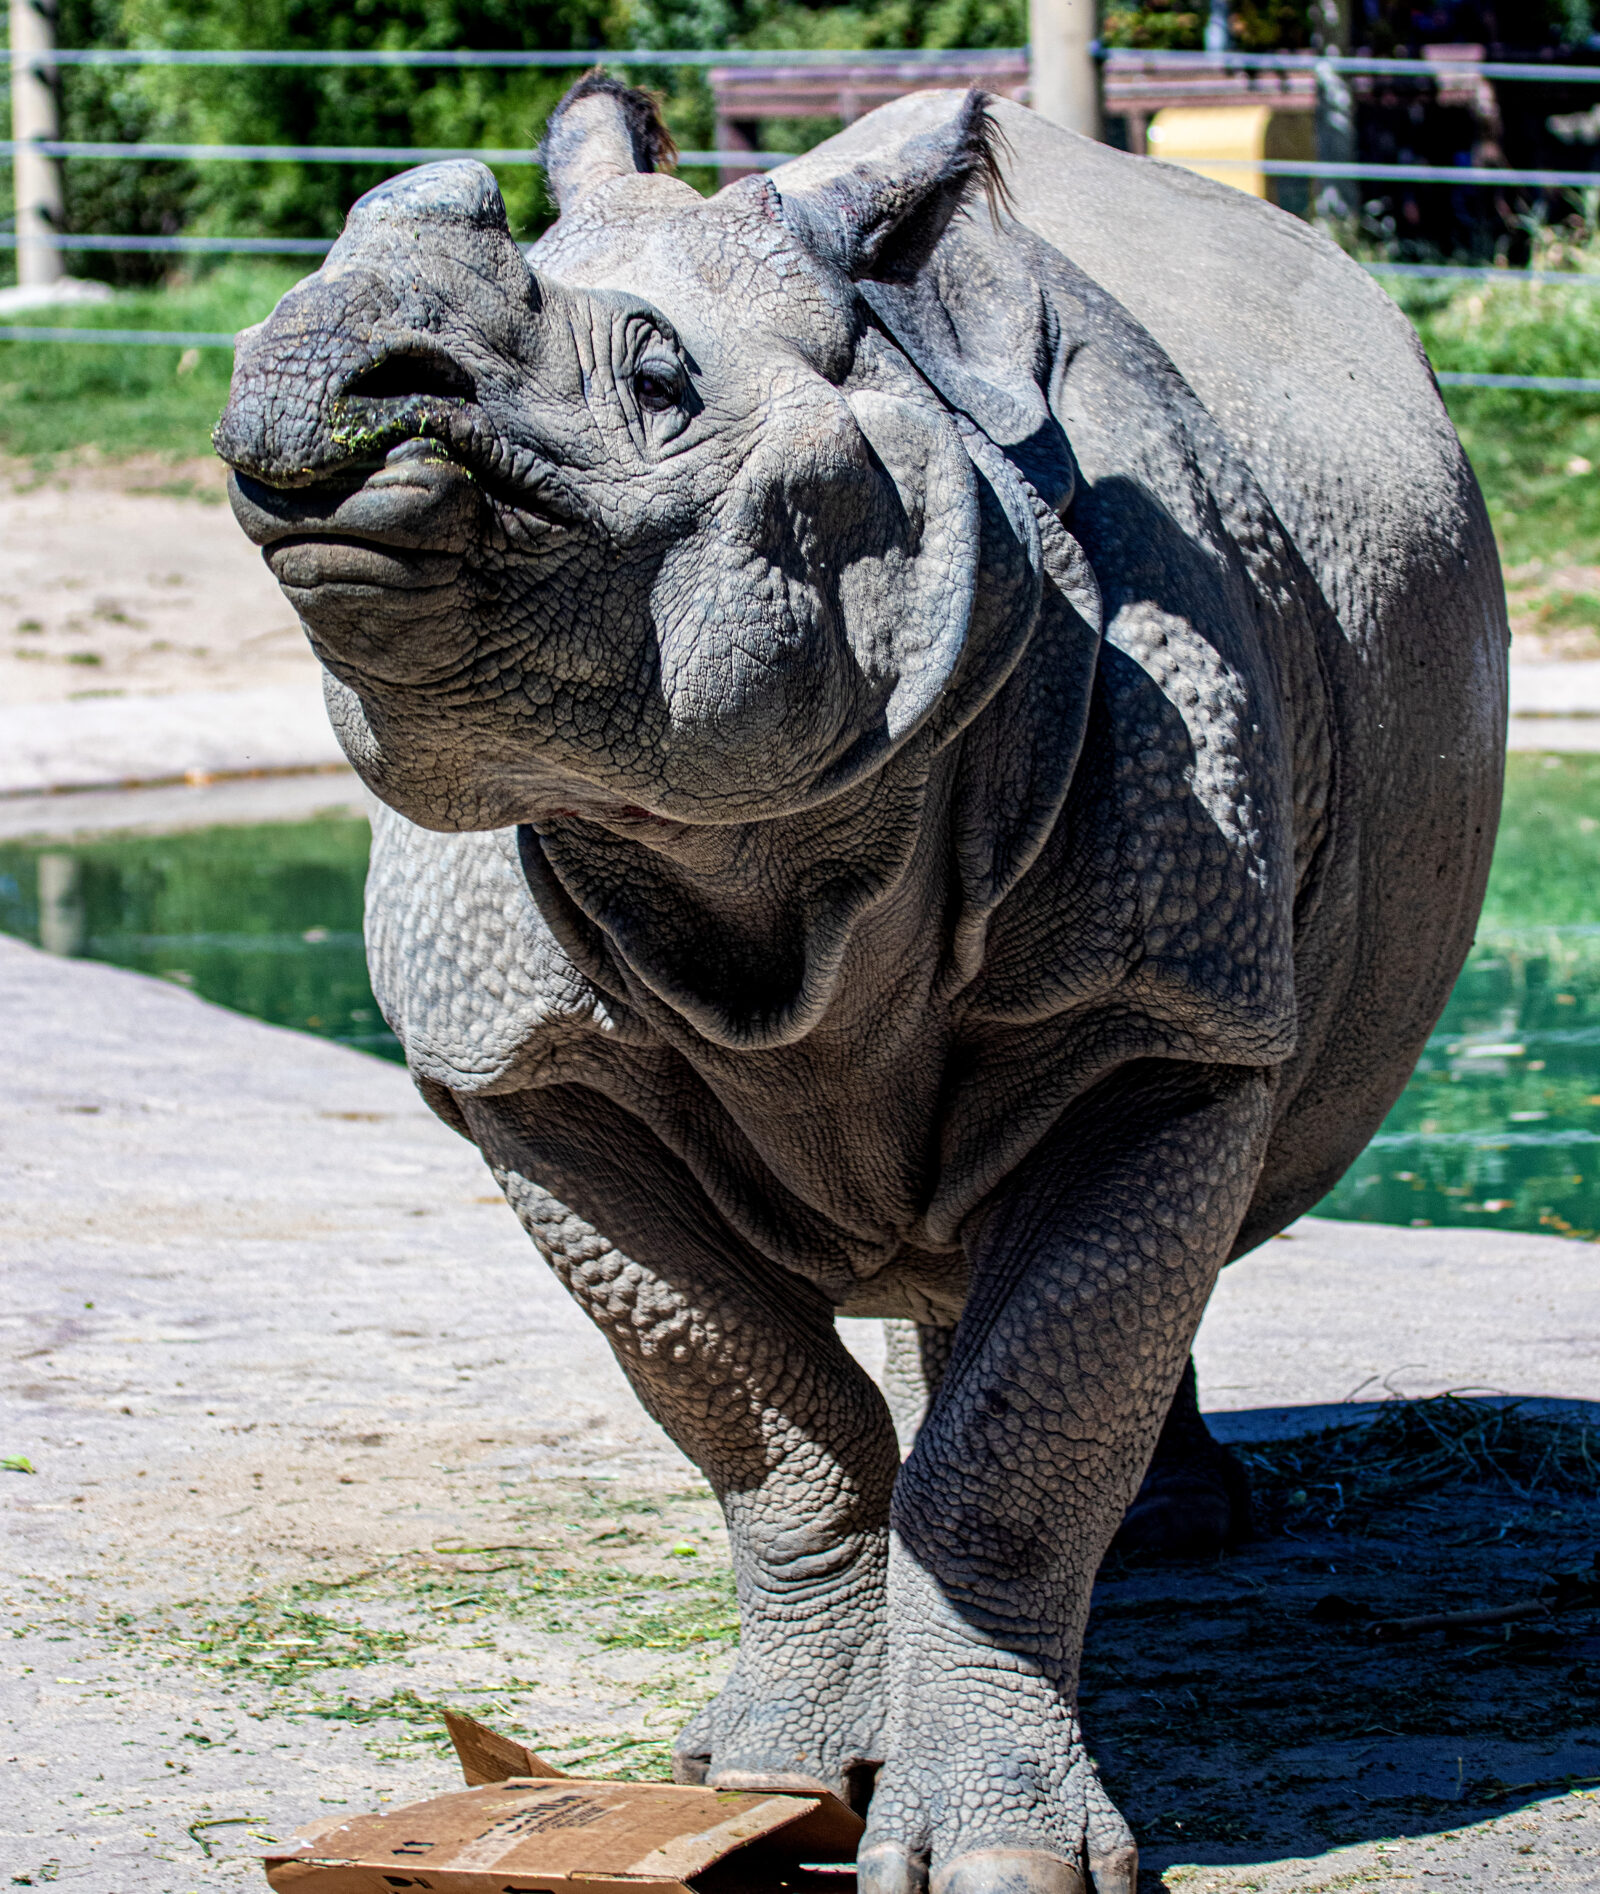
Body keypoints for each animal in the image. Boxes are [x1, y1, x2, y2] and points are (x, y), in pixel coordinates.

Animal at [215, 77, 1506, 1894]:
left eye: (660, 382)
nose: (312, 378)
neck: (756, 854)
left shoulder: (1164, 1009)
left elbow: (1023, 1432)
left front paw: (1002, 1863)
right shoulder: (523, 1068)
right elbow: (760, 1415)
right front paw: (770, 1771)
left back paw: (1173, 1529)